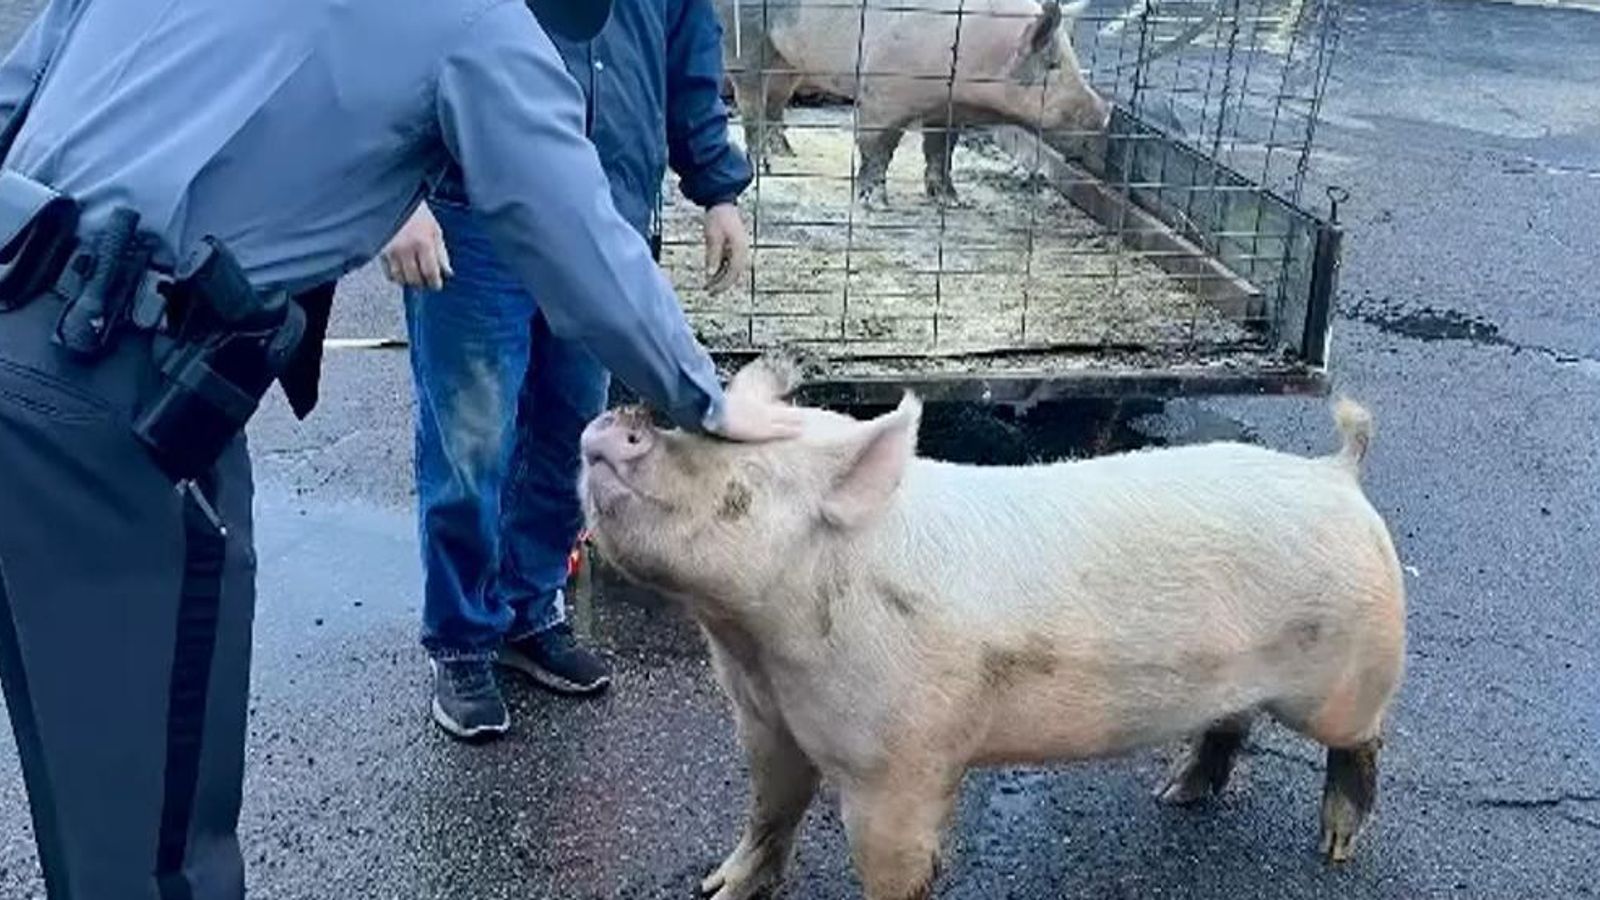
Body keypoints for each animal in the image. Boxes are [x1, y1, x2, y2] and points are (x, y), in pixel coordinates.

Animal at [580, 356, 1406, 900]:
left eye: (745, 485)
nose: (622, 418)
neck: (756, 647)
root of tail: (1337, 472)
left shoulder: (902, 760)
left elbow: (895, 863)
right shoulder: (765, 721)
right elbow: (768, 811)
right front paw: (717, 889)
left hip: (1348, 671)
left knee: (1361, 741)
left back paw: (1335, 846)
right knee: (1229, 724)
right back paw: (1176, 793)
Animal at [716, 0, 1112, 206]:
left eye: (1072, 59)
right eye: (1052, 65)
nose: (1106, 113)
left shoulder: (946, 111)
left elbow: (941, 150)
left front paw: (951, 200)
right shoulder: (882, 91)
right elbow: (878, 146)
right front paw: (875, 202)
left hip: (789, 61)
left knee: (775, 100)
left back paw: (786, 153)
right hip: (745, 40)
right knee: (750, 100)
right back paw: (763, 167)